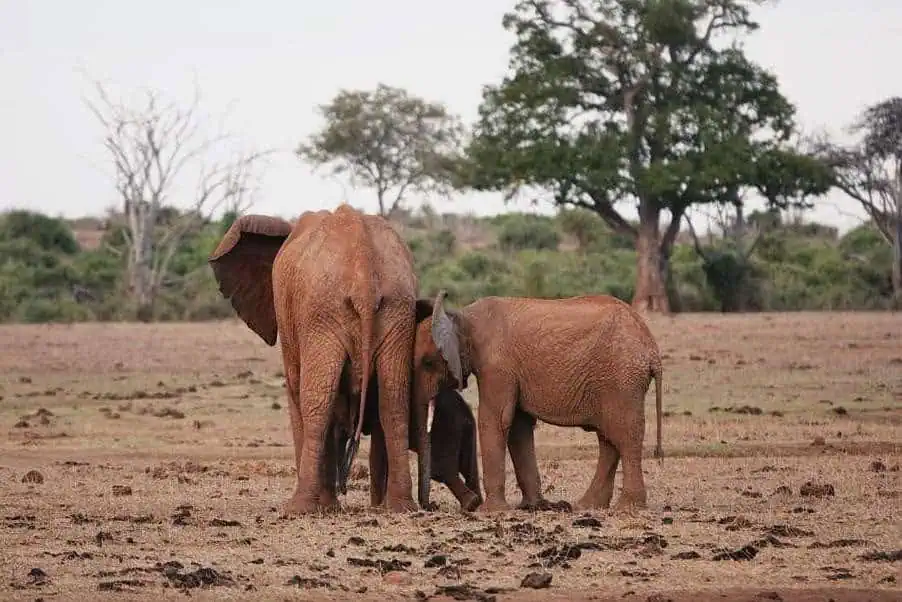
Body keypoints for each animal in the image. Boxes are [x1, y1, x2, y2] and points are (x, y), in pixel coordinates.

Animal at [208, 204, 434, 514]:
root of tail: (363, 270)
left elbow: (297, 389)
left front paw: (325, 505)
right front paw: (330, 505)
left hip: (322, 314)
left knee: (316, 400)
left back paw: (298, 507)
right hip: (397, 309)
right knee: (393, 400)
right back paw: (401, 507)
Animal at [409, 292, 663, 513]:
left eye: (427, 363)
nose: (431, 506)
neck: (461, 316)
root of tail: (651, 347)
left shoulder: (497, 367)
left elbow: (495, 420)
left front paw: (489, 512)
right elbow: (518, 427)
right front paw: (532, 506)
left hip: (622, 378)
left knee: (625, 435)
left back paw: (627, 507)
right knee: (608, 438)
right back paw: (587, 506)